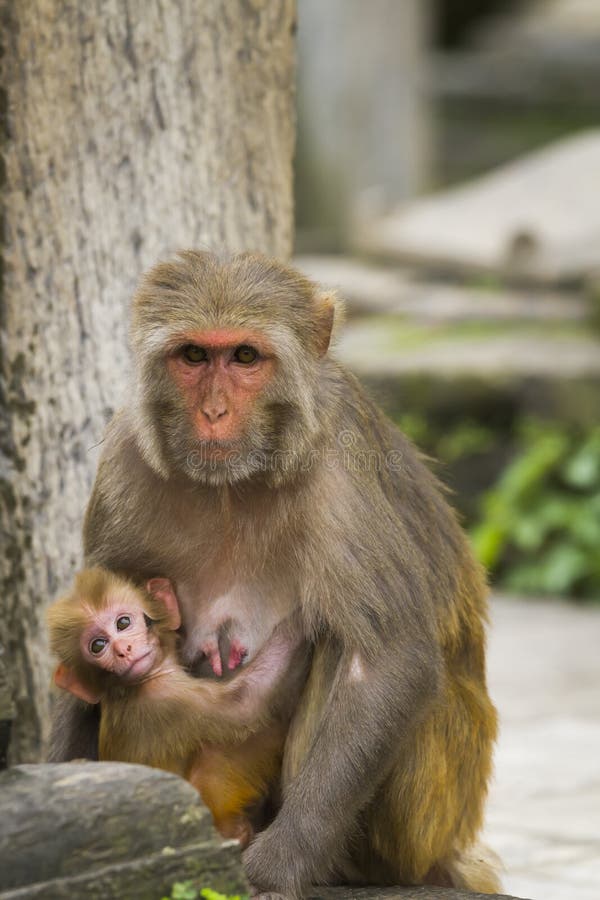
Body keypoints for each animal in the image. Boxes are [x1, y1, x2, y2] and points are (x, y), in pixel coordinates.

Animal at [47, 567, 306, 846]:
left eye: (123, 623)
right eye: (97, 646)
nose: (123, 650)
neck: (130, 688)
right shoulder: (166, 699)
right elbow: (246, 703)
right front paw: (301, 623)